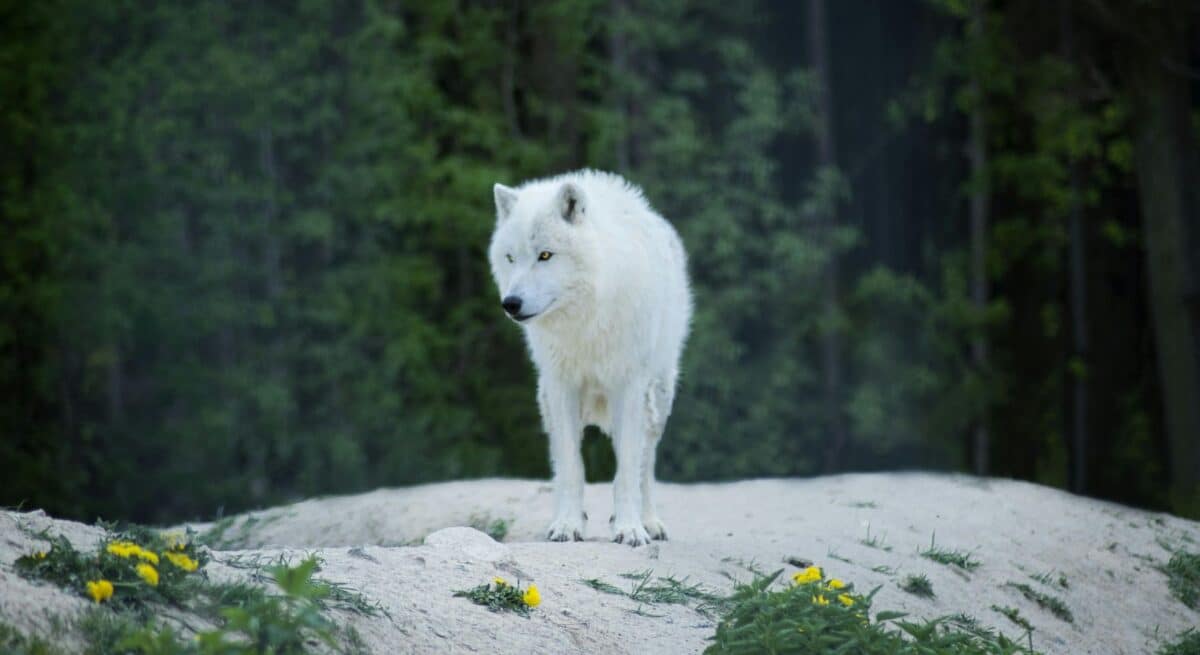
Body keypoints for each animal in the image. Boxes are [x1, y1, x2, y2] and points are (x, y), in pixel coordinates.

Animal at [488, 170, 692, 547]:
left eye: (545, 255)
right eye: (510, 258)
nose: (510, 303)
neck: (583, 320)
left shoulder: (628, 386)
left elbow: (627, 470)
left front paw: (629, 528)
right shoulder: (562, 386)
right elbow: (571, 467)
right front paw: (568, 525)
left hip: (657, 398)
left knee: (646, 464)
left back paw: (650, 522)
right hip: (547, 403)